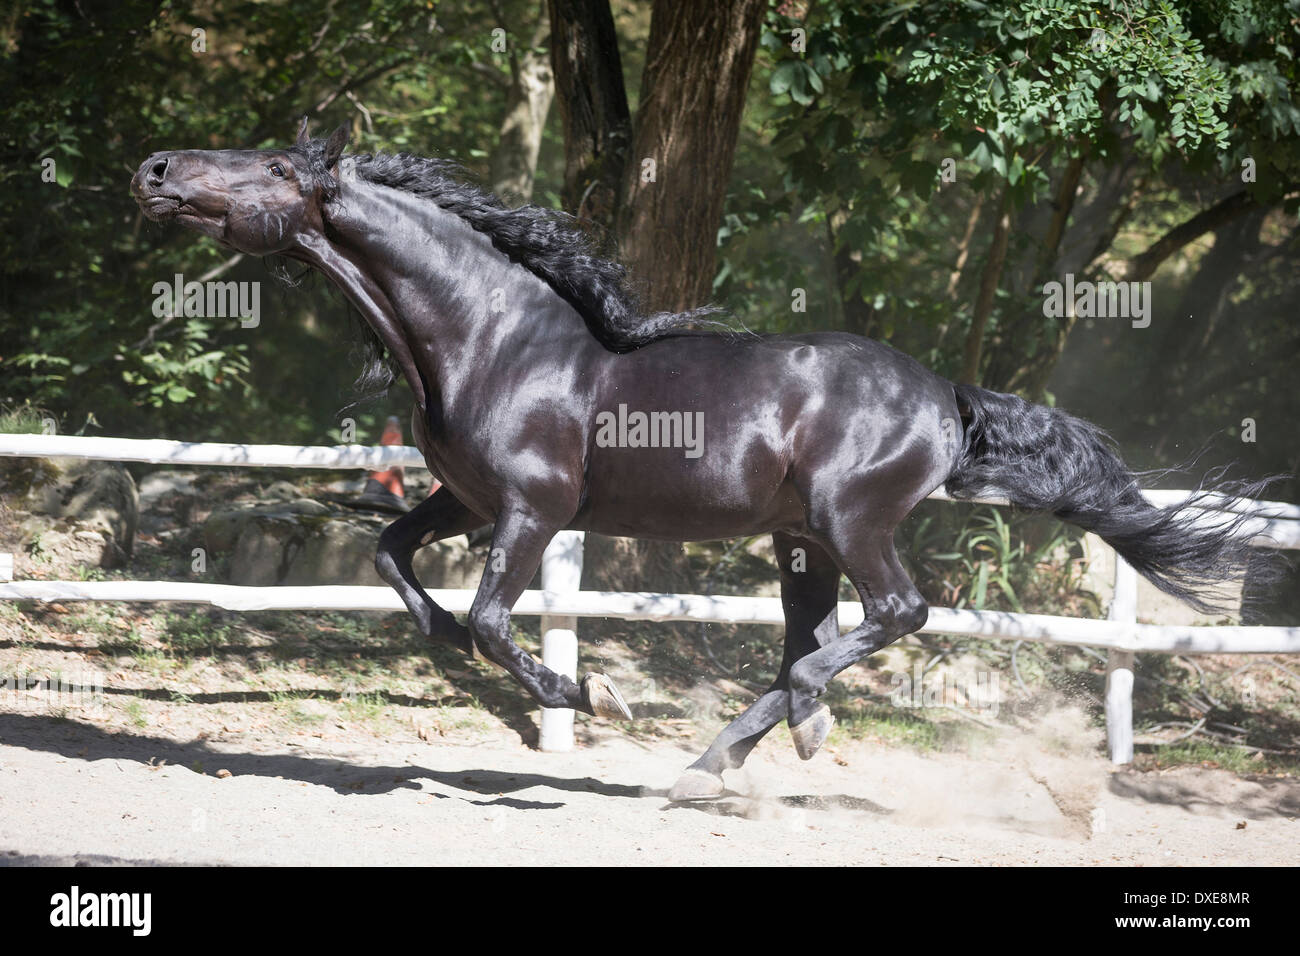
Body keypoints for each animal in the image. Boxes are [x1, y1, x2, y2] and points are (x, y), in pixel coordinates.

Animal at [131, 122, 1271, 801]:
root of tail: (944, 394)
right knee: (806, 642)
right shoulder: (465, 500)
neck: (489, 336)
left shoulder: (535, 510)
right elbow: (391, 560)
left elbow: (497, 620)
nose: (153, 172)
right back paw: (729, 756)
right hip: (802, 539)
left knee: (893, 615)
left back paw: (770, 730)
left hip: (854, 520)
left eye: (276, 170)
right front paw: (452, 645)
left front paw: (592, 695)